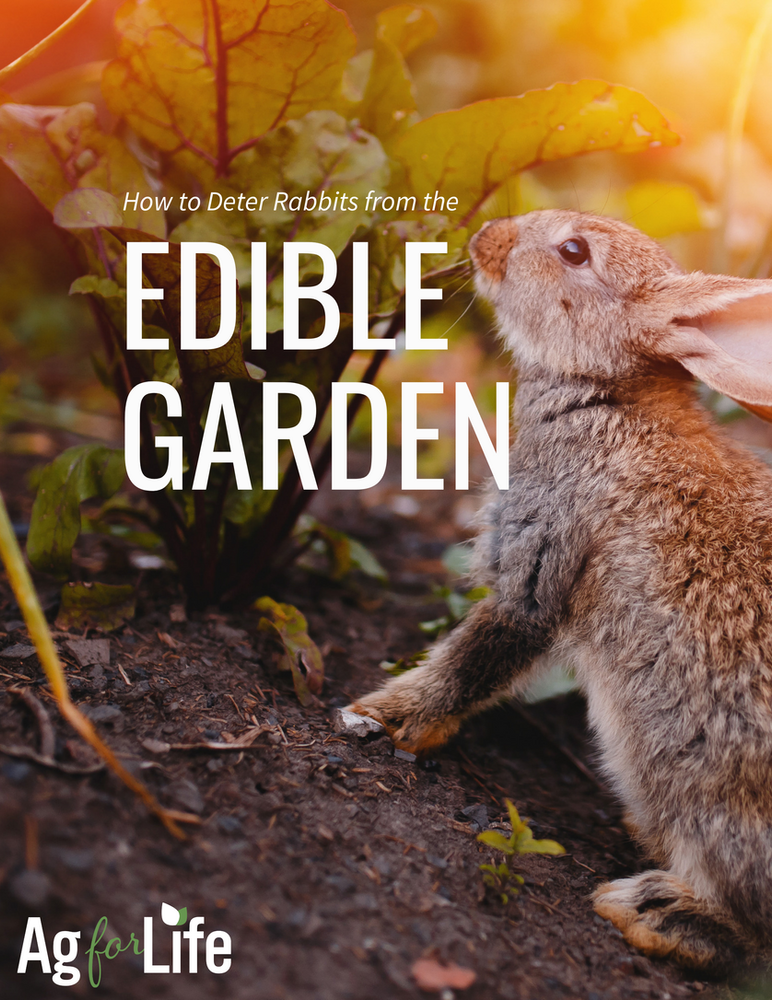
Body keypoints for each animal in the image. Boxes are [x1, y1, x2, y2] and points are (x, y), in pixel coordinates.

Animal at [346, 209, 772, 973]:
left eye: (574, 251)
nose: (487, 237)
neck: (606, 389)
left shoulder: (539, 557)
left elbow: (478, 653)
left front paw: (380, 714)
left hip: (704, 785)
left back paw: (652, 911)